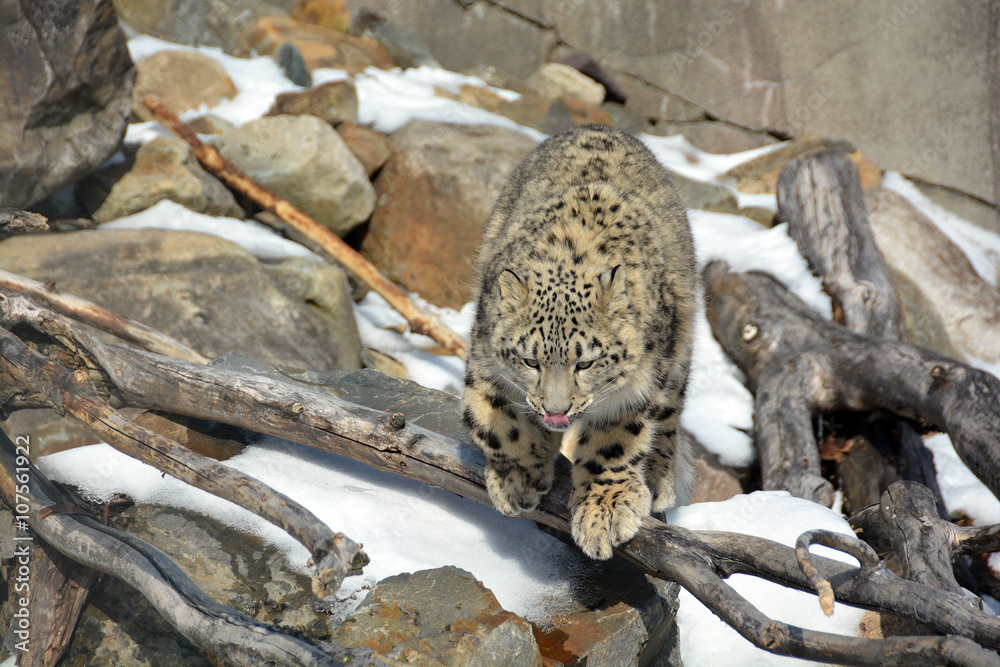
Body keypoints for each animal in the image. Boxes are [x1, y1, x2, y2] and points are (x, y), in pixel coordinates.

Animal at [462, 124, 698, 560]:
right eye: (530, 361)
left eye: (585, 363)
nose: (556, 410)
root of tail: (600, 127)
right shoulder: (483, 358)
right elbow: (490, 420)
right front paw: (520, 478)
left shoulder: (636, 388)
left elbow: (615, 441)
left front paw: (604, 510)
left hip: (678, 349)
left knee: (671, 412)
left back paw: (659, 477)